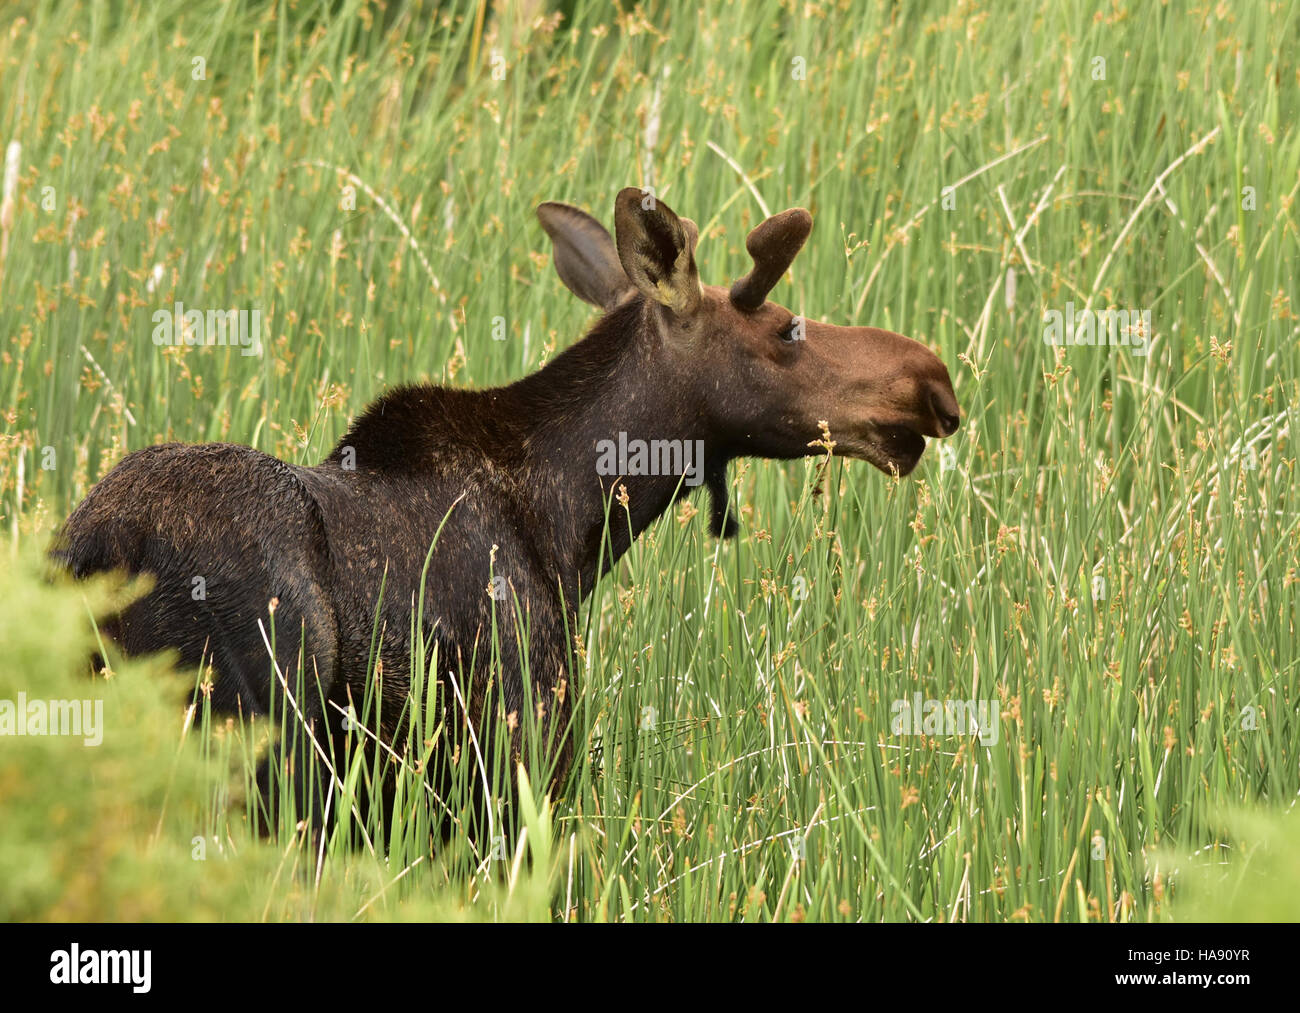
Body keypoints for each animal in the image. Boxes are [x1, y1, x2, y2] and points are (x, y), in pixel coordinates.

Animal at [52, 187, 960, 835]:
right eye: (786, 330)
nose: (932, 381)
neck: (577, 530)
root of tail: (101, 549)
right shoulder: (516, 758)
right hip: (259, 745)